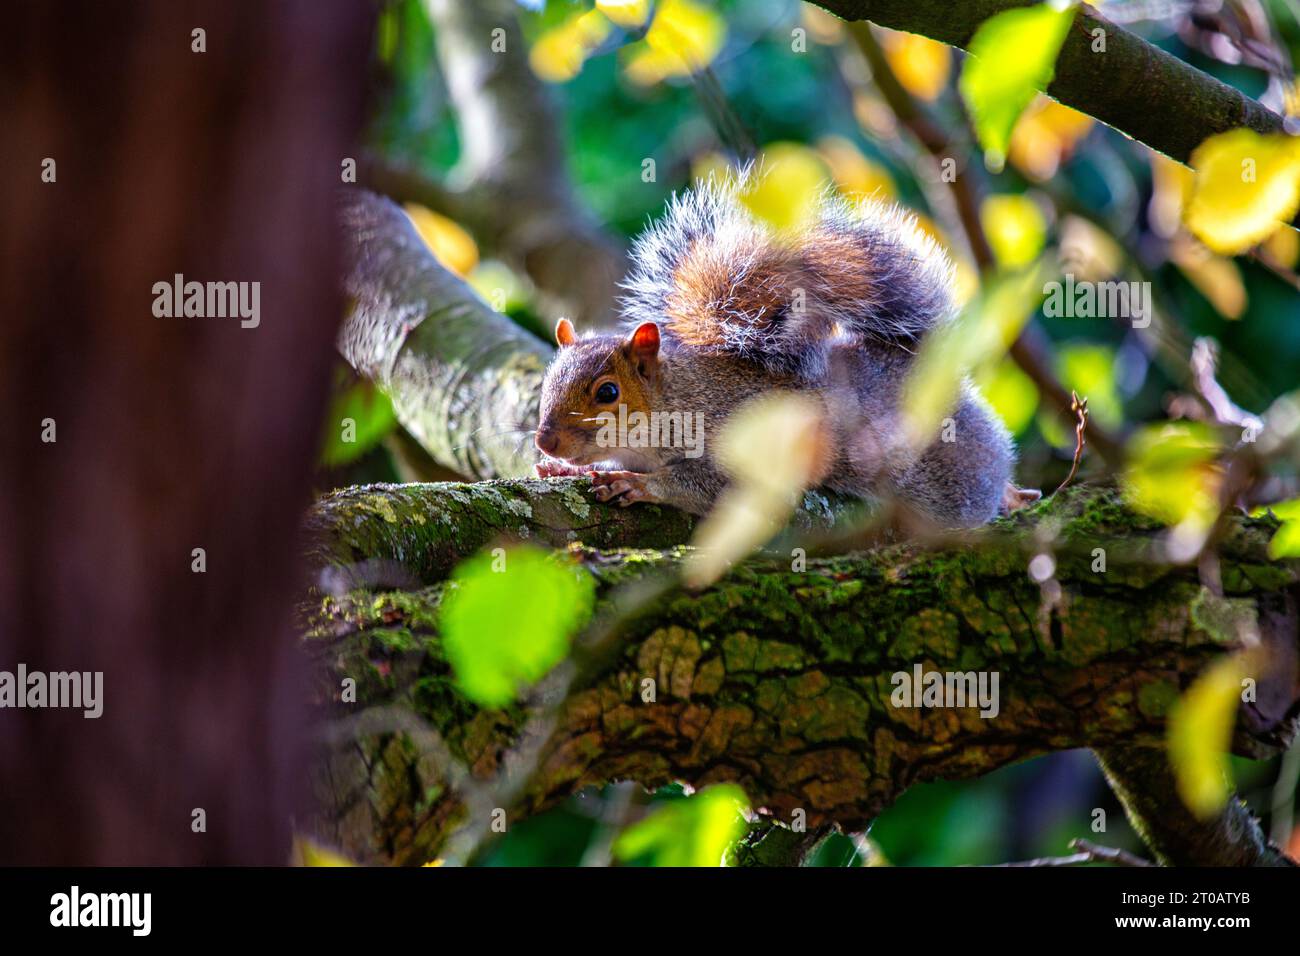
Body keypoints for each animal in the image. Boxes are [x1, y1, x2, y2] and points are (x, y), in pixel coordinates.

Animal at [534, 177, 1030, 527]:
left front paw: (637, 483)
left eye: (608, 393)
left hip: (951, 482)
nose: (545, 440)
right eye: (547, 382)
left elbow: (709, 487)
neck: (678, 398)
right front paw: (561, 469)